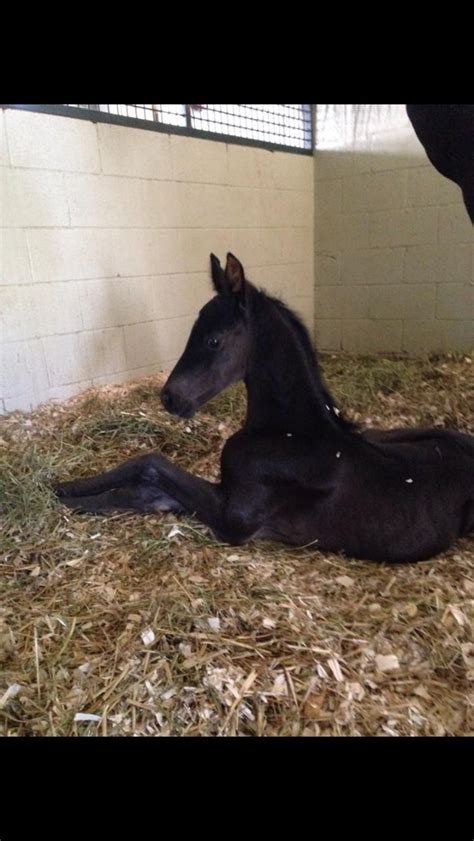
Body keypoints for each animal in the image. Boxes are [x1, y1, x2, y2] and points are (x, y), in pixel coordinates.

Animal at [55, 252, 474, 563]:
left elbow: (152, 465)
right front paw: (68, 490)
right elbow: (146, 488)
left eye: (213, 340)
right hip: (384, 433)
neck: (289, 433)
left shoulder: (232, 519)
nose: (169, 398)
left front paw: (62, 490)